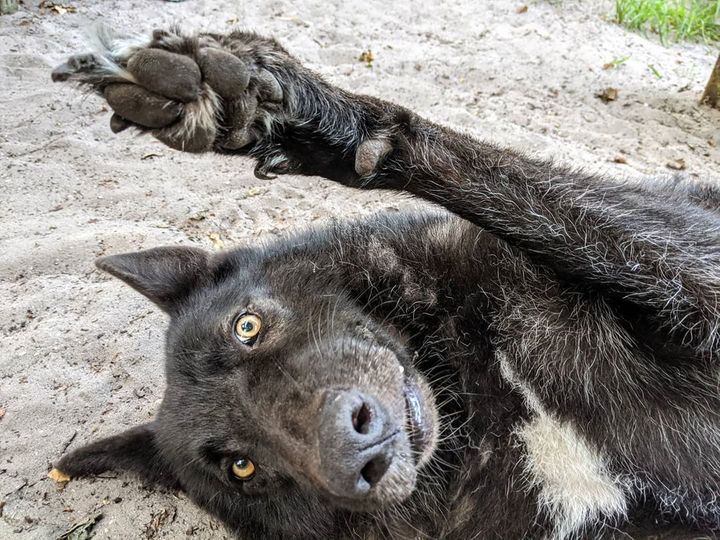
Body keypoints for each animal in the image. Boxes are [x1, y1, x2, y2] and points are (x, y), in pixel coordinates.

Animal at [50, 27, 720, 539]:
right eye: (240, 468)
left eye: (247, 326)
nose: (355, 454)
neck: (481, 398)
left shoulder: (695, 269)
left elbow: (496, 179)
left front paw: (304, 118)